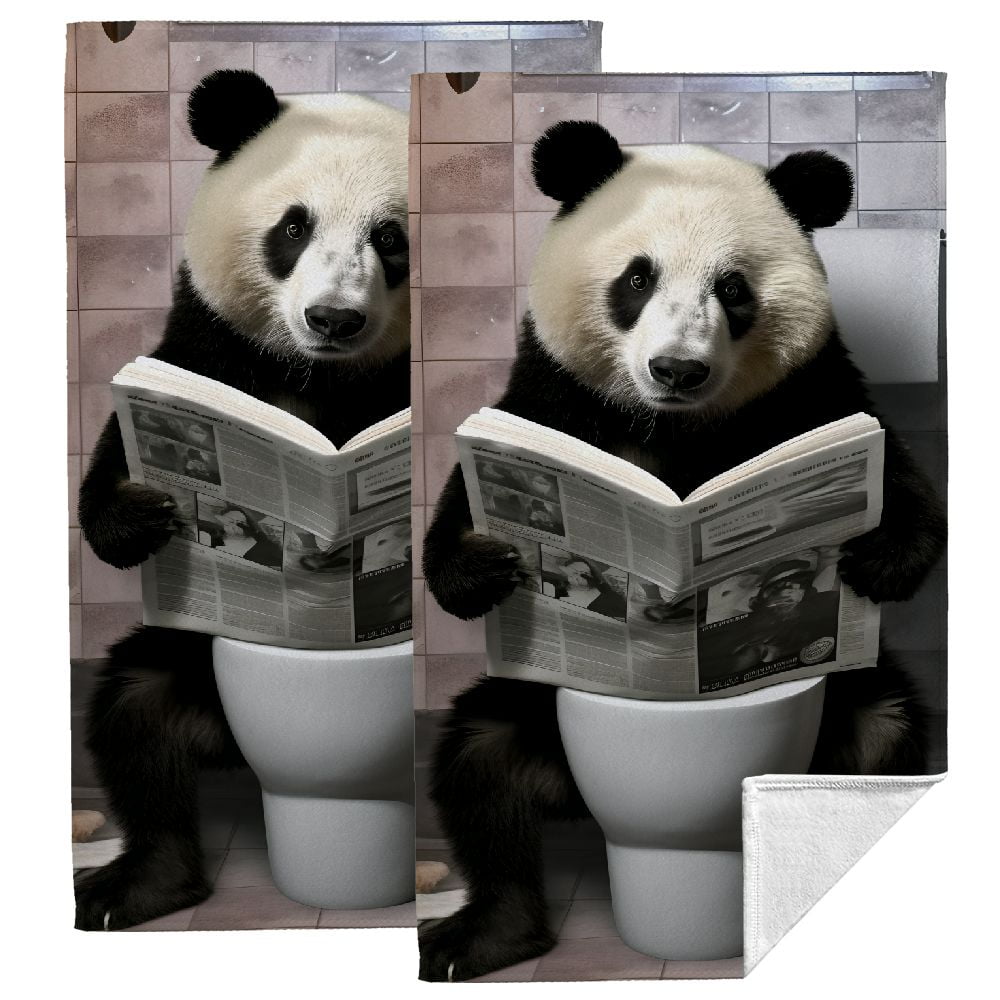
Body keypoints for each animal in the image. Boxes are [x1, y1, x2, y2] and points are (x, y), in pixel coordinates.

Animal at [74, 70, 409, 930]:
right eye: (294, 226)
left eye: (392, 239)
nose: (333, 318)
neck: (318, 374)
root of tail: (223, 743)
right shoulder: (209, 349)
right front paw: (144, 514)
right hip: (190, 666)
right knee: (136, 721)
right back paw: (143, 883)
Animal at [419, 121, 946, 980]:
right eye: (637, 277)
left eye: (733, 289)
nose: (677, 369)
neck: (677, 423)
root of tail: (571, 793)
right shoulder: (557, 393)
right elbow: (476, 486)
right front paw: (481, 565)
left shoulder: (808, 391)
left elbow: (893, 471)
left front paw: (875, 556)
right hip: (533, 712)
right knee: (480, 768)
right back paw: (488, 933)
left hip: (839, 716)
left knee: (883, 742)